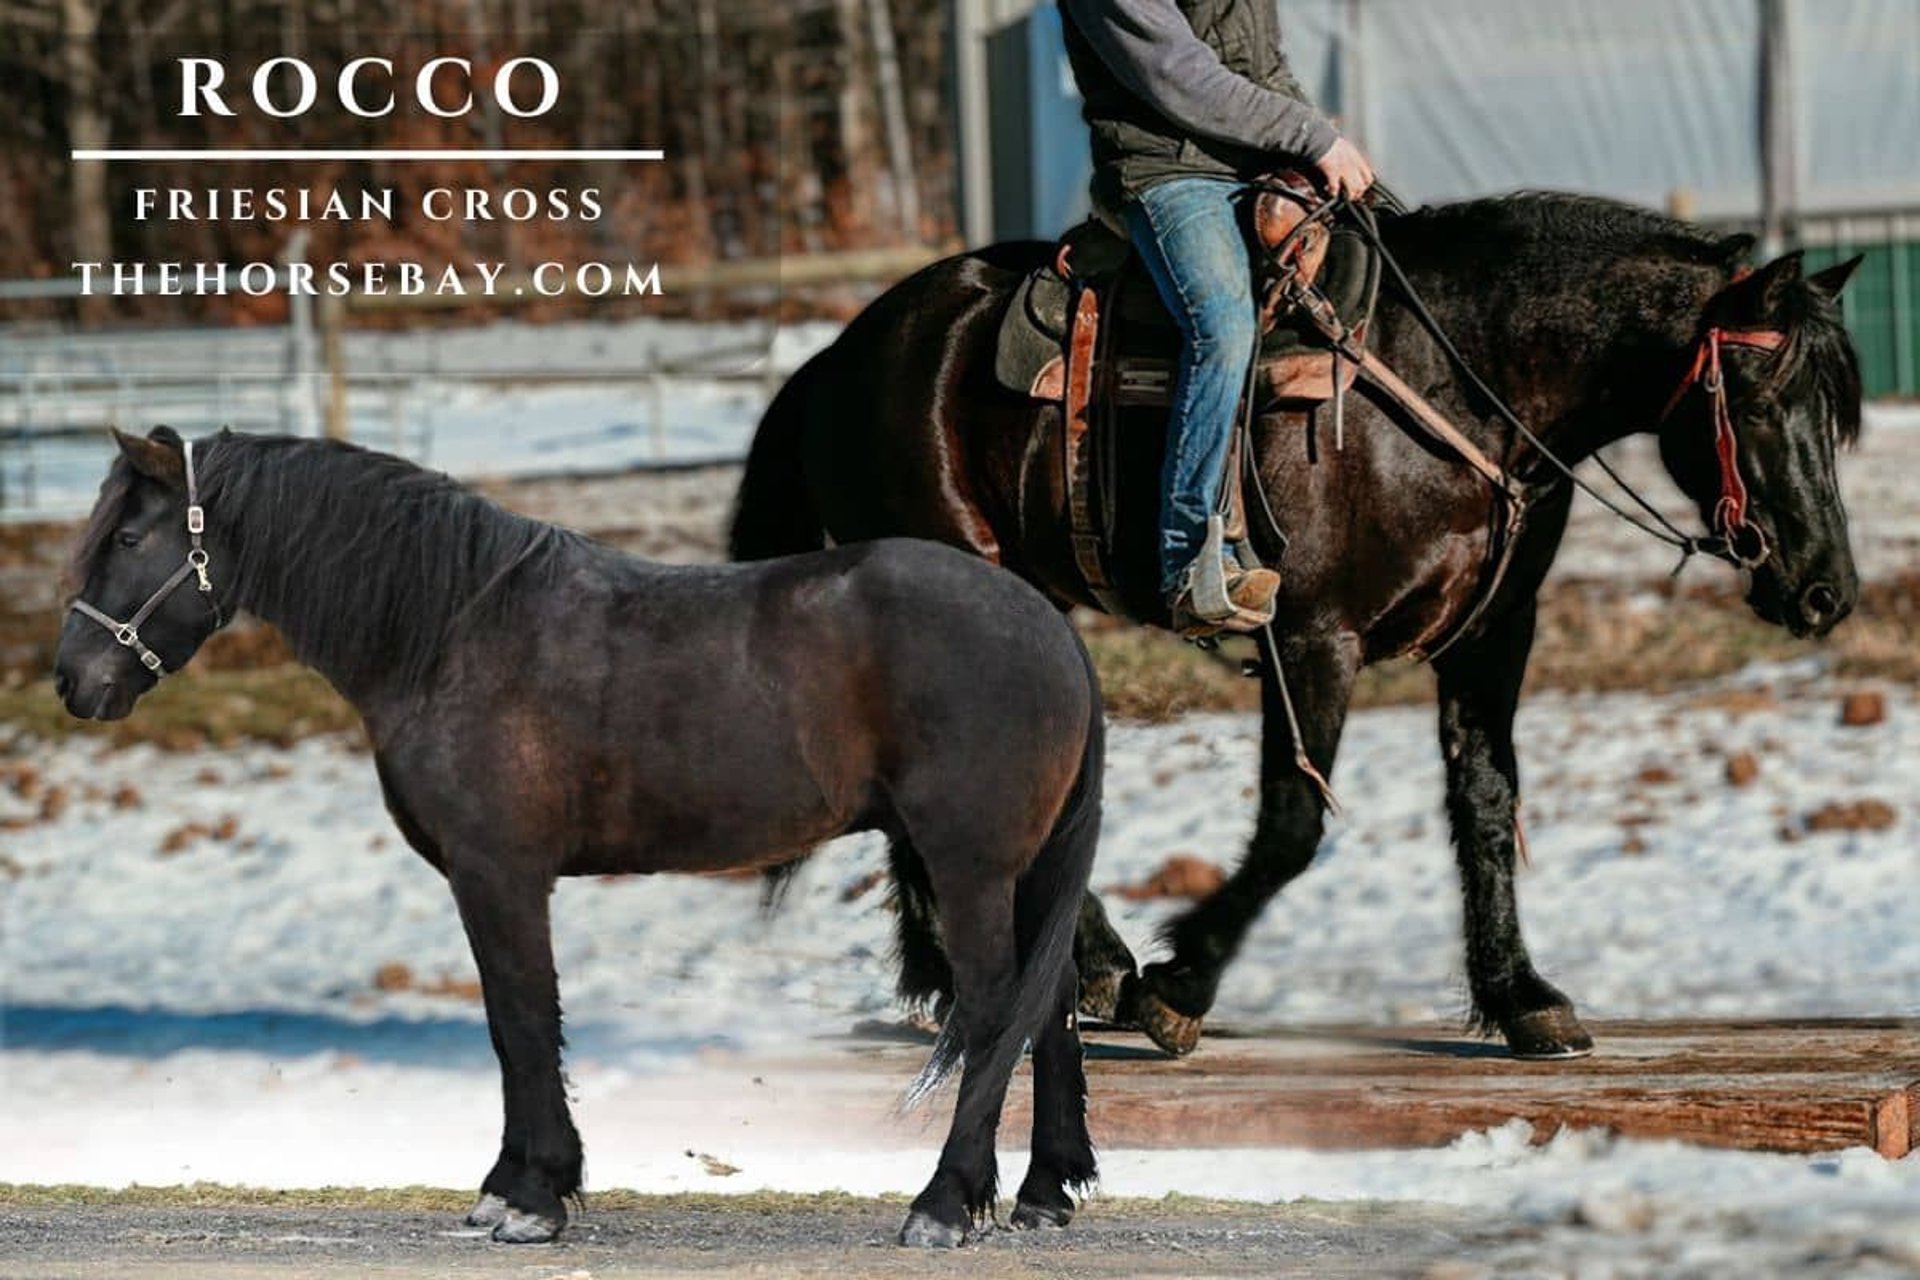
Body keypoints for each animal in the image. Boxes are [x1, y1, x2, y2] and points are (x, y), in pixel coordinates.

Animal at [54, 427, 1105, 1248]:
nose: (72, 682)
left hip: (968, 867)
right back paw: (1044, 1195)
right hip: (1017, 870)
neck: (451, 630)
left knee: (993, 1008)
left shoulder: (499, 873)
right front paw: (510, 1189)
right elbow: (507, 1023)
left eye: (131, 536)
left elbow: (522, 1020)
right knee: (1046, 1003)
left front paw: (531, 1198)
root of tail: (1047, 624)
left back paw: (943, 1204)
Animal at [729, 191, 1865, 1061]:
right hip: (966, 588)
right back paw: (1077, 971)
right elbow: (1292, 823)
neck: (1460, 386)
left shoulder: (1493, 636)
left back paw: (992, 971)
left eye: (1833, 410)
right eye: (1757, 401)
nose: (1828, 591)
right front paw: (1178, 988)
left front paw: (1521, 995)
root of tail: (841, 353)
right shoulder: (1314, 639)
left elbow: (1488, 805)